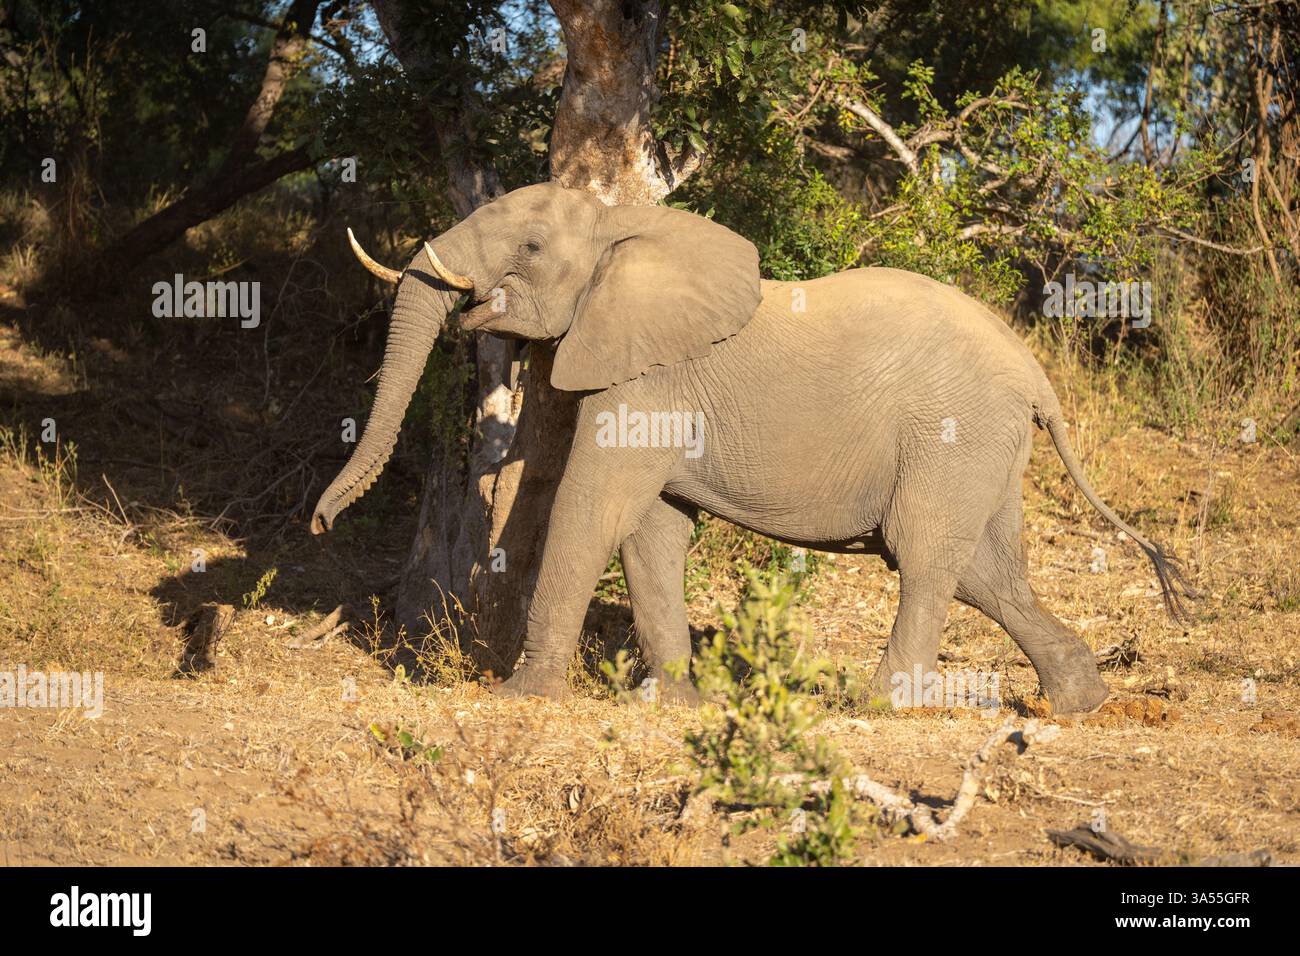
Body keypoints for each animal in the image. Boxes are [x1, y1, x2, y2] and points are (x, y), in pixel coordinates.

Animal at [312, 181, 1192, 714]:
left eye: (529, 248)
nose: (319, 524)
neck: (624, 223)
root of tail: (1038, 376)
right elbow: (652, 533)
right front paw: (675, 707)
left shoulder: (648, 379)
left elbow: (593, 510)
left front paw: (521, 698)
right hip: (986, 447)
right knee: (986, 569)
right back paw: (1080, 699)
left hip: (954, 433)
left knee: (922, 556)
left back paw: (879, 706)